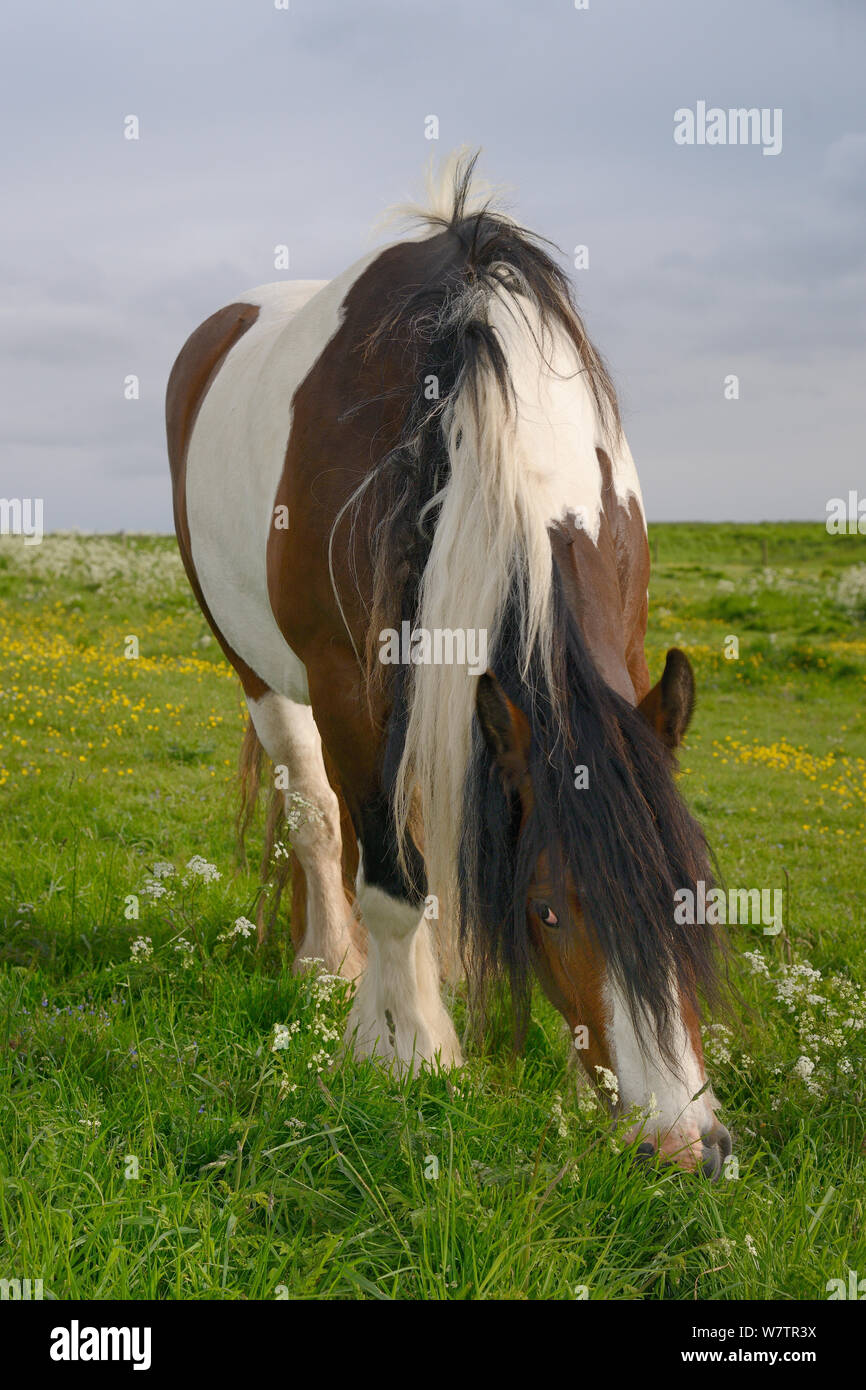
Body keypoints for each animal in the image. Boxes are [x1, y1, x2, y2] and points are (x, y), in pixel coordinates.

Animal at [164, 154, 733, 1173]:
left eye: (696, 896)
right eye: (546, 911)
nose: (682, 1145)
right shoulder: (354, 687)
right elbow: (392, 882)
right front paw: (409, 1052)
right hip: (264, 674)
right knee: (318, 816)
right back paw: (329, 964)